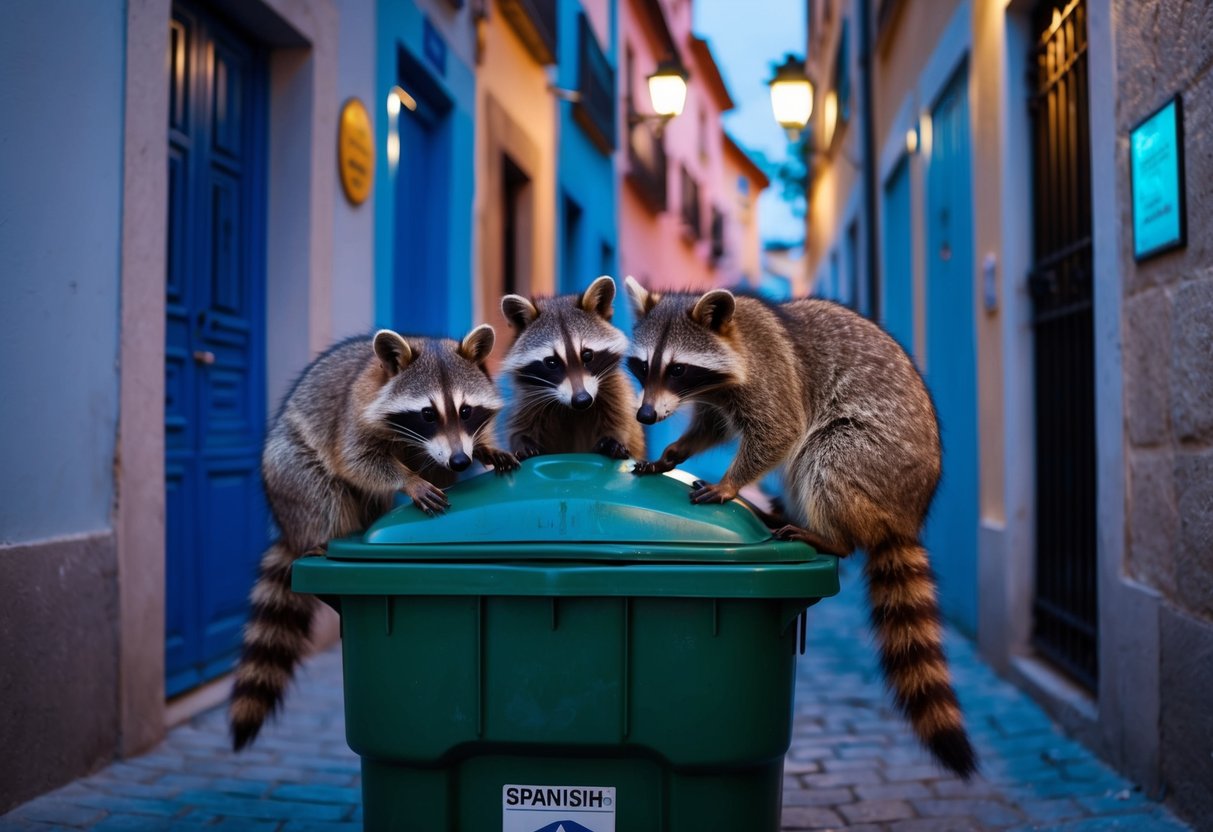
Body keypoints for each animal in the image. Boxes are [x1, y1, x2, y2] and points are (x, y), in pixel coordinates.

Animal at [229, 325, 518, 750]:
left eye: (466, 411)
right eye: (427, 414)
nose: (461, 461)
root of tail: (289, 526)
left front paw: (484, 448)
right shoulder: (356, 414)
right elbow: (357, 458)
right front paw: (408, 479)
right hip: (289, 470)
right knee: (324, 494)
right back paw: (322, 537)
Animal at [499, 275, 645, 460]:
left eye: (587, 355)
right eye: (552, 363)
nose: (582, 400)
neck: (571, 410)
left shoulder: (615, 390)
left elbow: (620, 419)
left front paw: (614, 439)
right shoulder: (527, 398)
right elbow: (518, 426)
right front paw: (522, 441)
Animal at [623, 276, 977, 779]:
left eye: (677, 370)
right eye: (641, 365)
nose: (646, 417)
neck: (734, 335)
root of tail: (907, 515)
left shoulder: (771, 374)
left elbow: (780, 429)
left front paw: (730, 482)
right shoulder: (718, 397)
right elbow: (713, 427)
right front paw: (674, 452)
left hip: (873, 458)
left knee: (822, 453)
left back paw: (830, 535)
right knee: (799, 467)